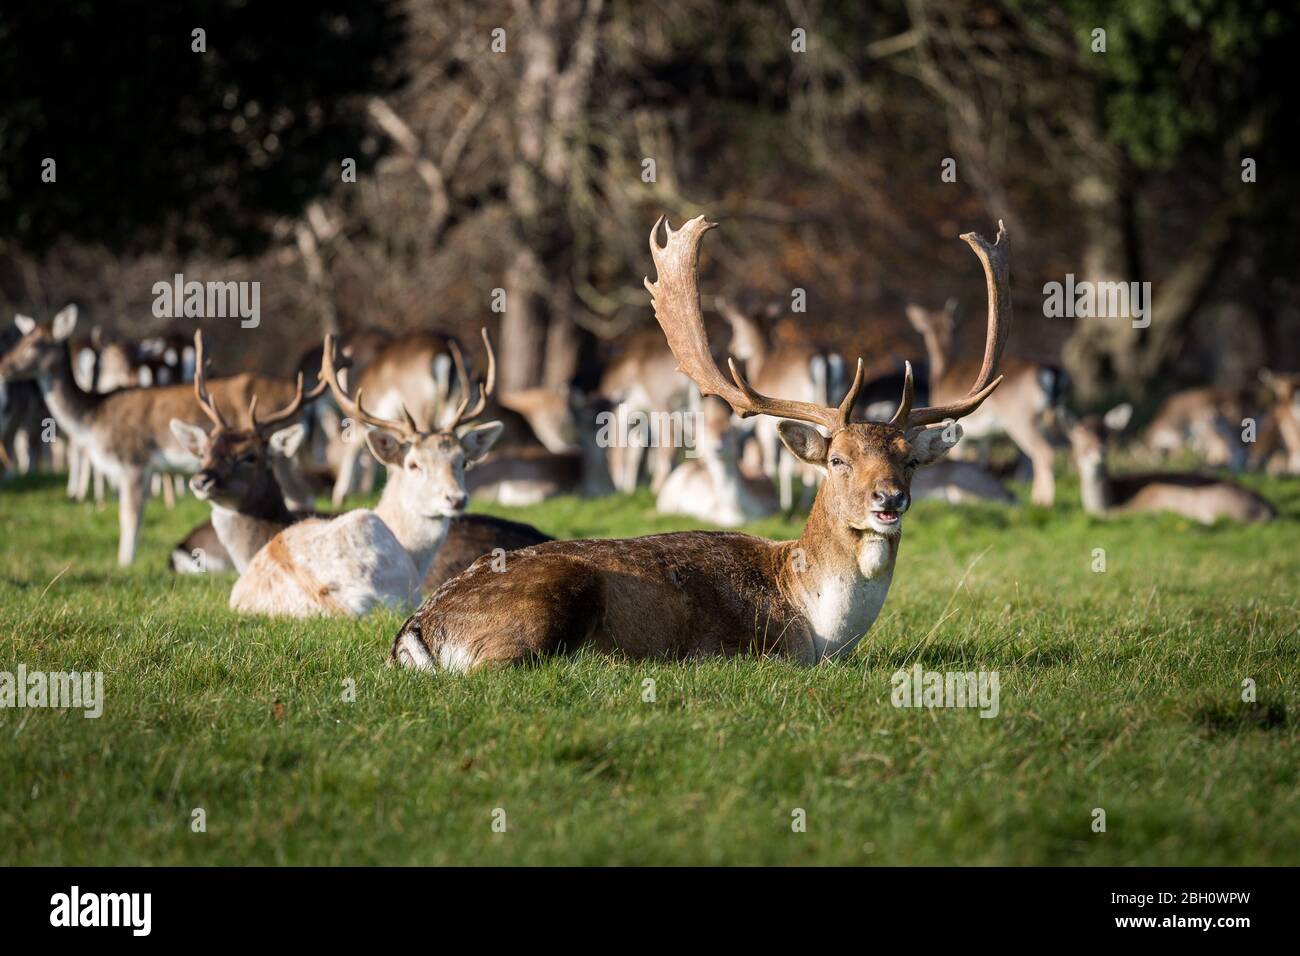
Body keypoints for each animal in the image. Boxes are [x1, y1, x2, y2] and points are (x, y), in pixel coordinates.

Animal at [0, 306, 307, 565]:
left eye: (36, 343)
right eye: (22, 338)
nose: (4, 365)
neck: (93, 419)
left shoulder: (134, 462)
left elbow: (130, 518)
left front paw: (125, 563)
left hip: (283, 455)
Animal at [389, 215, 1010, 673]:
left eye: (911, 461)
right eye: (837, 459)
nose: (889, 499)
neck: (819, 629)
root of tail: (417, 628)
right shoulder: (752, 650)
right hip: (547, 603)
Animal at [905, 299, 1067, 506]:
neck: (942, 374)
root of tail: (1048, 373)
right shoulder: (982, 438)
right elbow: (981, 461)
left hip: (1021, 418)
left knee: (1044, 453)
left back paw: (1043, 502)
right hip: (1053, 416)